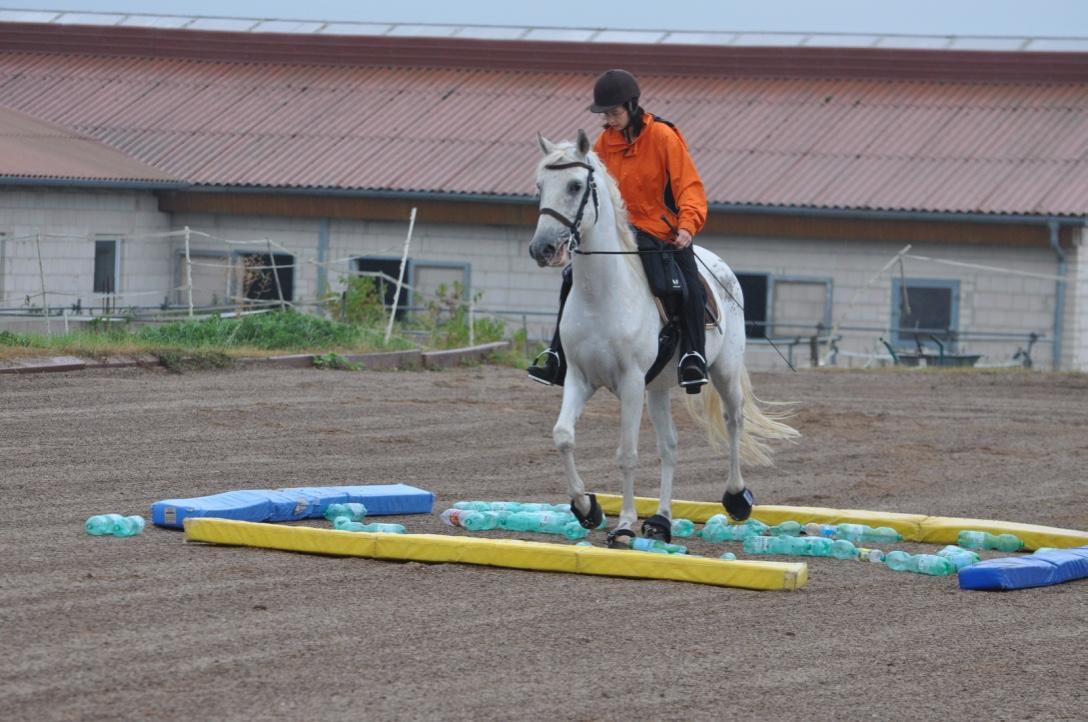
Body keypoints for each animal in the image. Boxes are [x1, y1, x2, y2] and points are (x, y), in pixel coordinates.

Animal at [527, 129, 799, 545]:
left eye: (574, 186)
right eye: (541, 186)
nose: (542, 248)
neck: (602, 294)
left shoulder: (630, 383)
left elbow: (626, 454)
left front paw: (624, 525)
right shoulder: (579, 378)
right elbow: (563, 436)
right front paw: (587, 508)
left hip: (722, 372)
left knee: (734, 420)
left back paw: (736, 498)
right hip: (657, 388)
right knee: (669, 447)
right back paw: (661, 520)